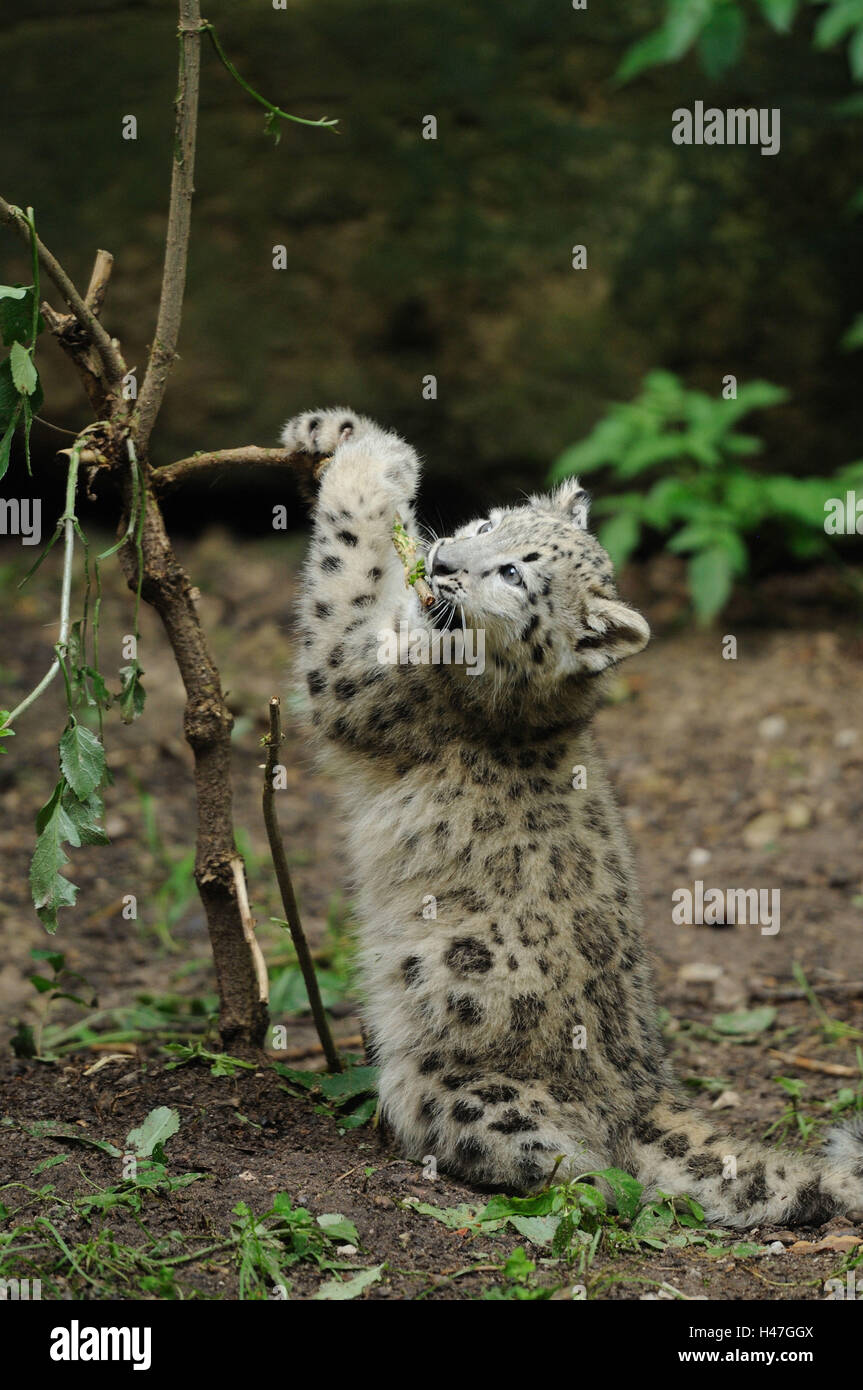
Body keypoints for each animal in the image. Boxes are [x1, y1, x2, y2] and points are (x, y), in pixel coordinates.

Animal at [281, 405, 863, 1230]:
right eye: (486, 522)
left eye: (513, 572)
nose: (444, 557)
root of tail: (646, 1091)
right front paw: (331, 430)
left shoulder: (353, 680)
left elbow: (346, 571)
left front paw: (370, 463)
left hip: (464, 1089)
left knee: (585, 1174)